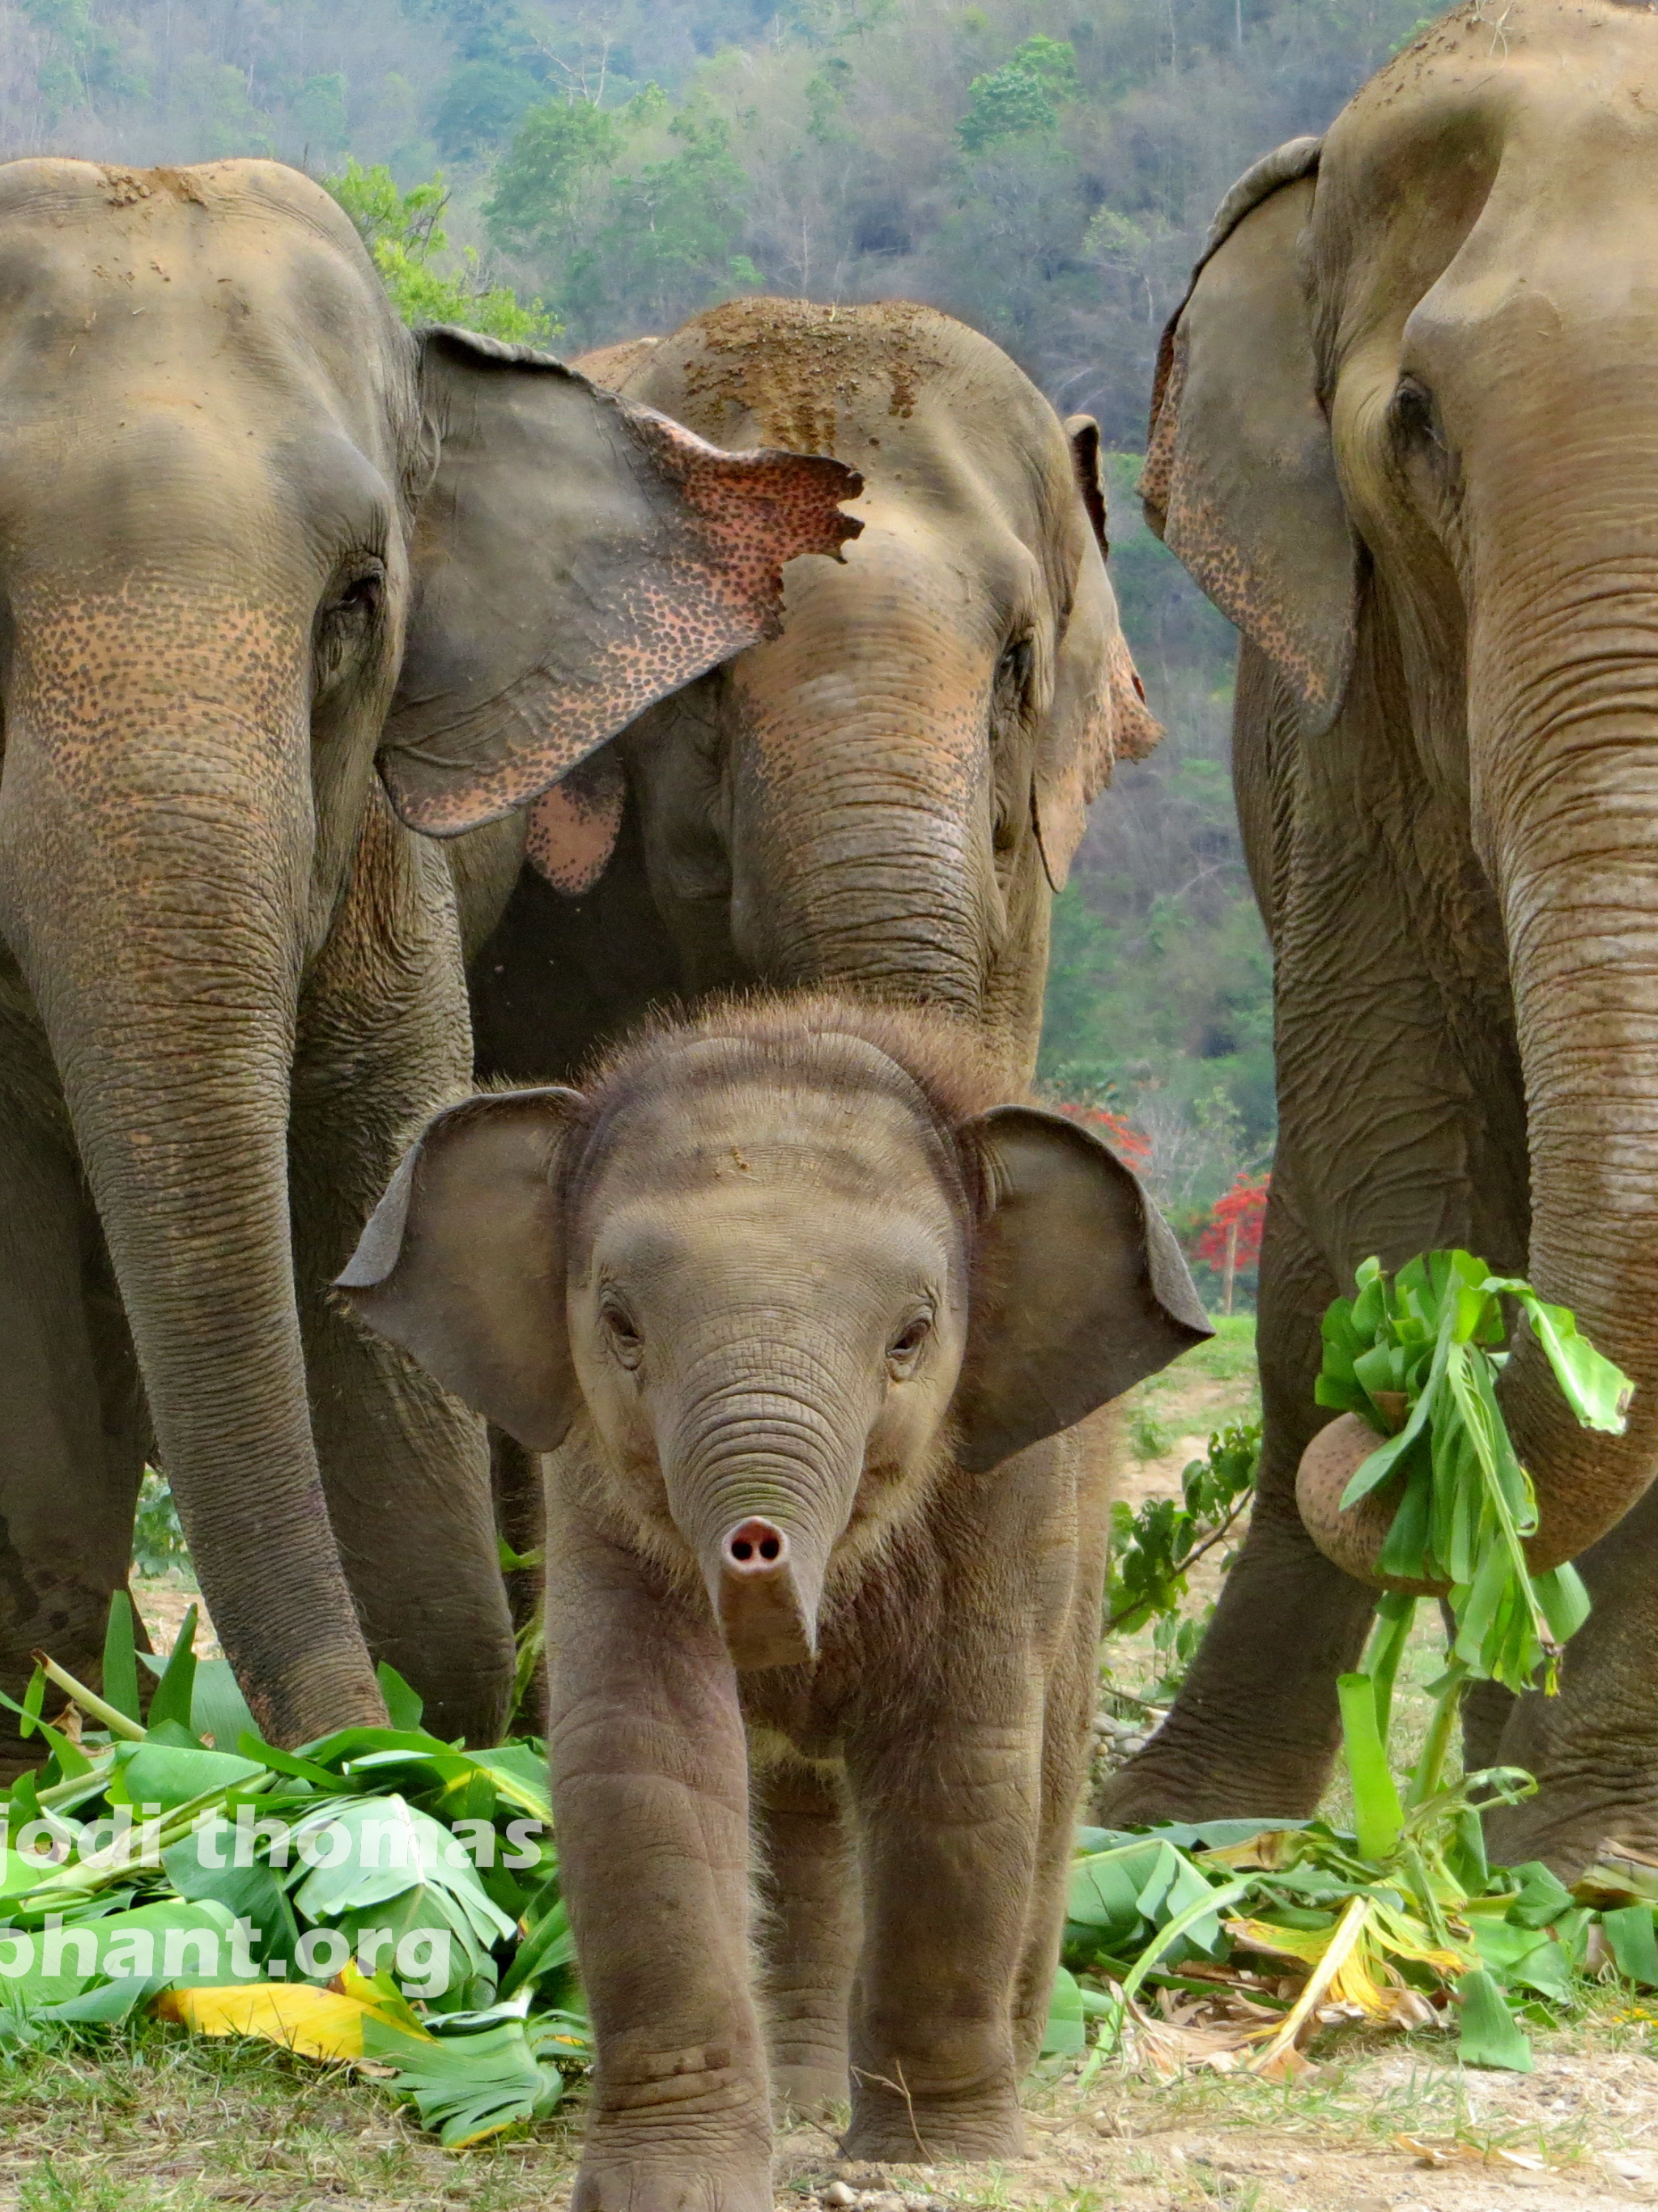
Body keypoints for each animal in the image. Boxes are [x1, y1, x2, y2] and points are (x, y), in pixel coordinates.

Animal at [340, 989, 1209, 2204]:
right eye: (620, 1327)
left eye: (911, 1336)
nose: (757, 1550)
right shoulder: (593, 1480)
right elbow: (642, 1757)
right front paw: (675, 2185)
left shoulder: (1005, 1490)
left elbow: (957, 1765)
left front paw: (933, 2163)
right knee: (799, 1812)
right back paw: (804, 2099)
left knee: (1041, 1775)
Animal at [1097, 0, 1658, 1871]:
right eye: (1412, 422)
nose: (1388, 1399)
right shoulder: (1346, 711)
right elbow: (1394, 1120)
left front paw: (1597, 1863)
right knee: (1295, 1301)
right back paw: (1191, 1828)